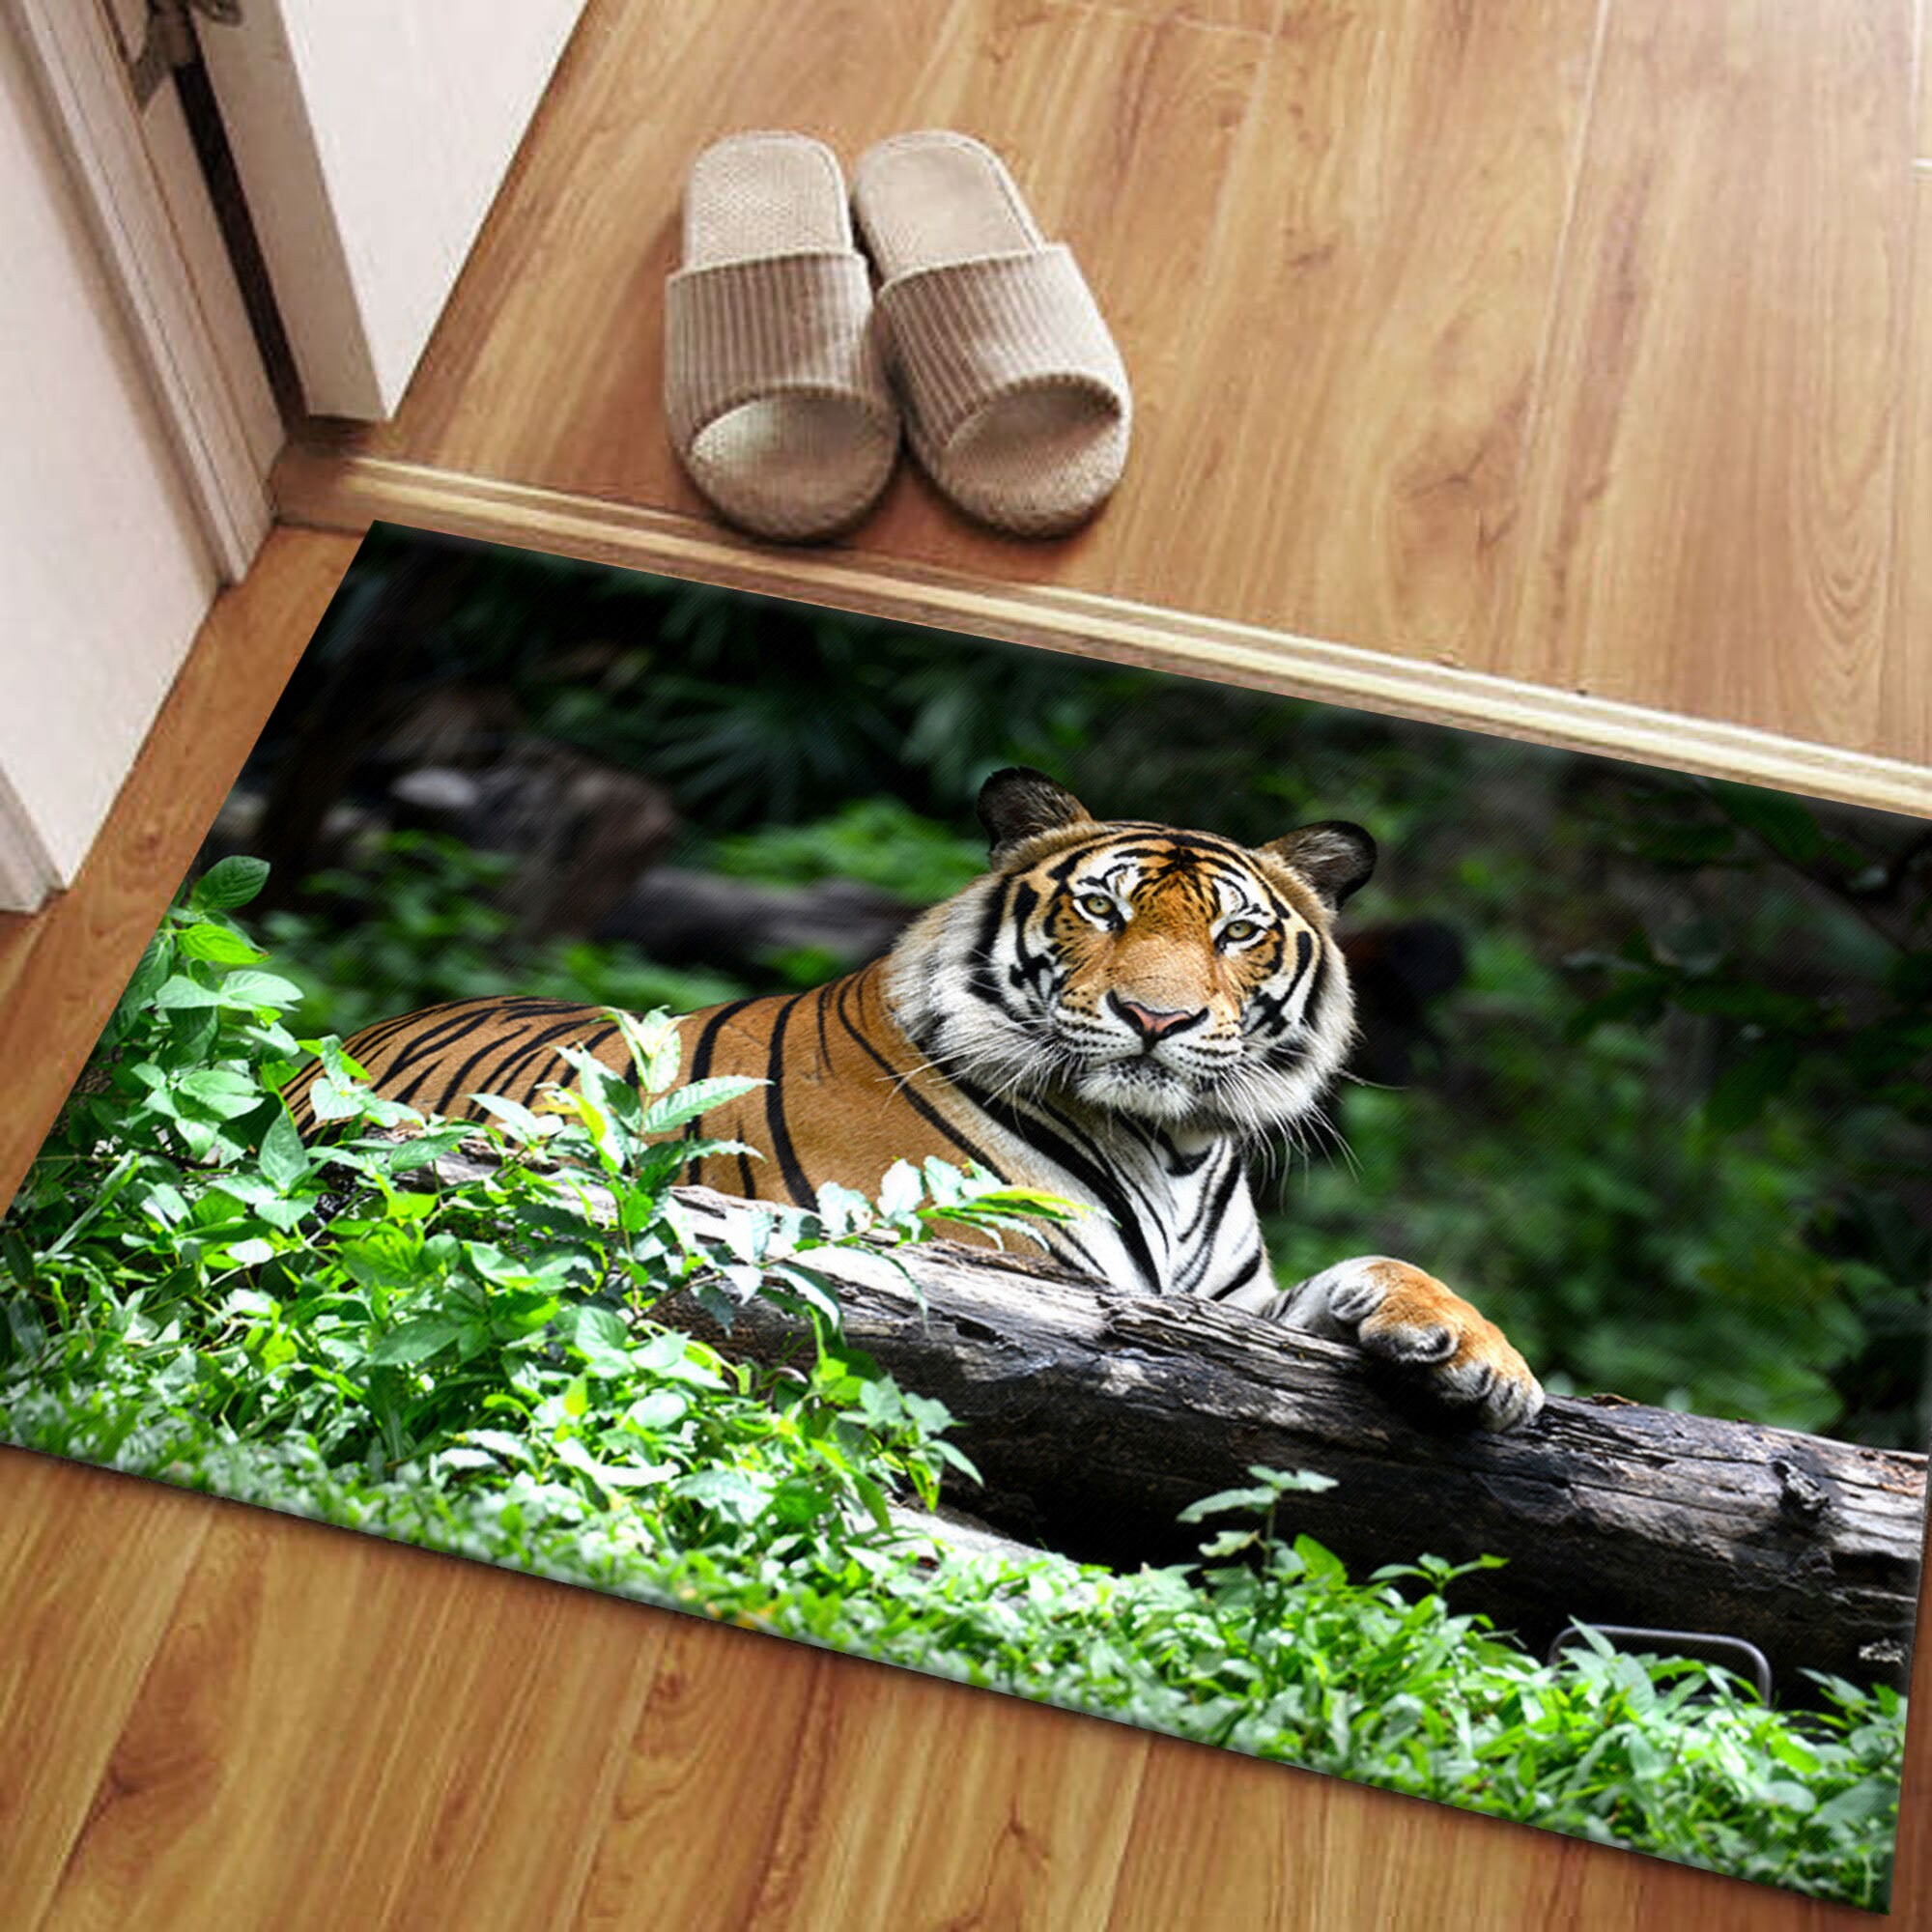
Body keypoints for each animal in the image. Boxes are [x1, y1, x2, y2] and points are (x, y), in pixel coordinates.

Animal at [288, 767, 1543, 1430]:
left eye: (1235, 932)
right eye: (1100, 908)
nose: (1158, 1019)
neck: (1176, 1148)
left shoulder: (1226, 1310)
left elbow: (1378, 1269)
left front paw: (1485, 1361)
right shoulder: (991, 1261)